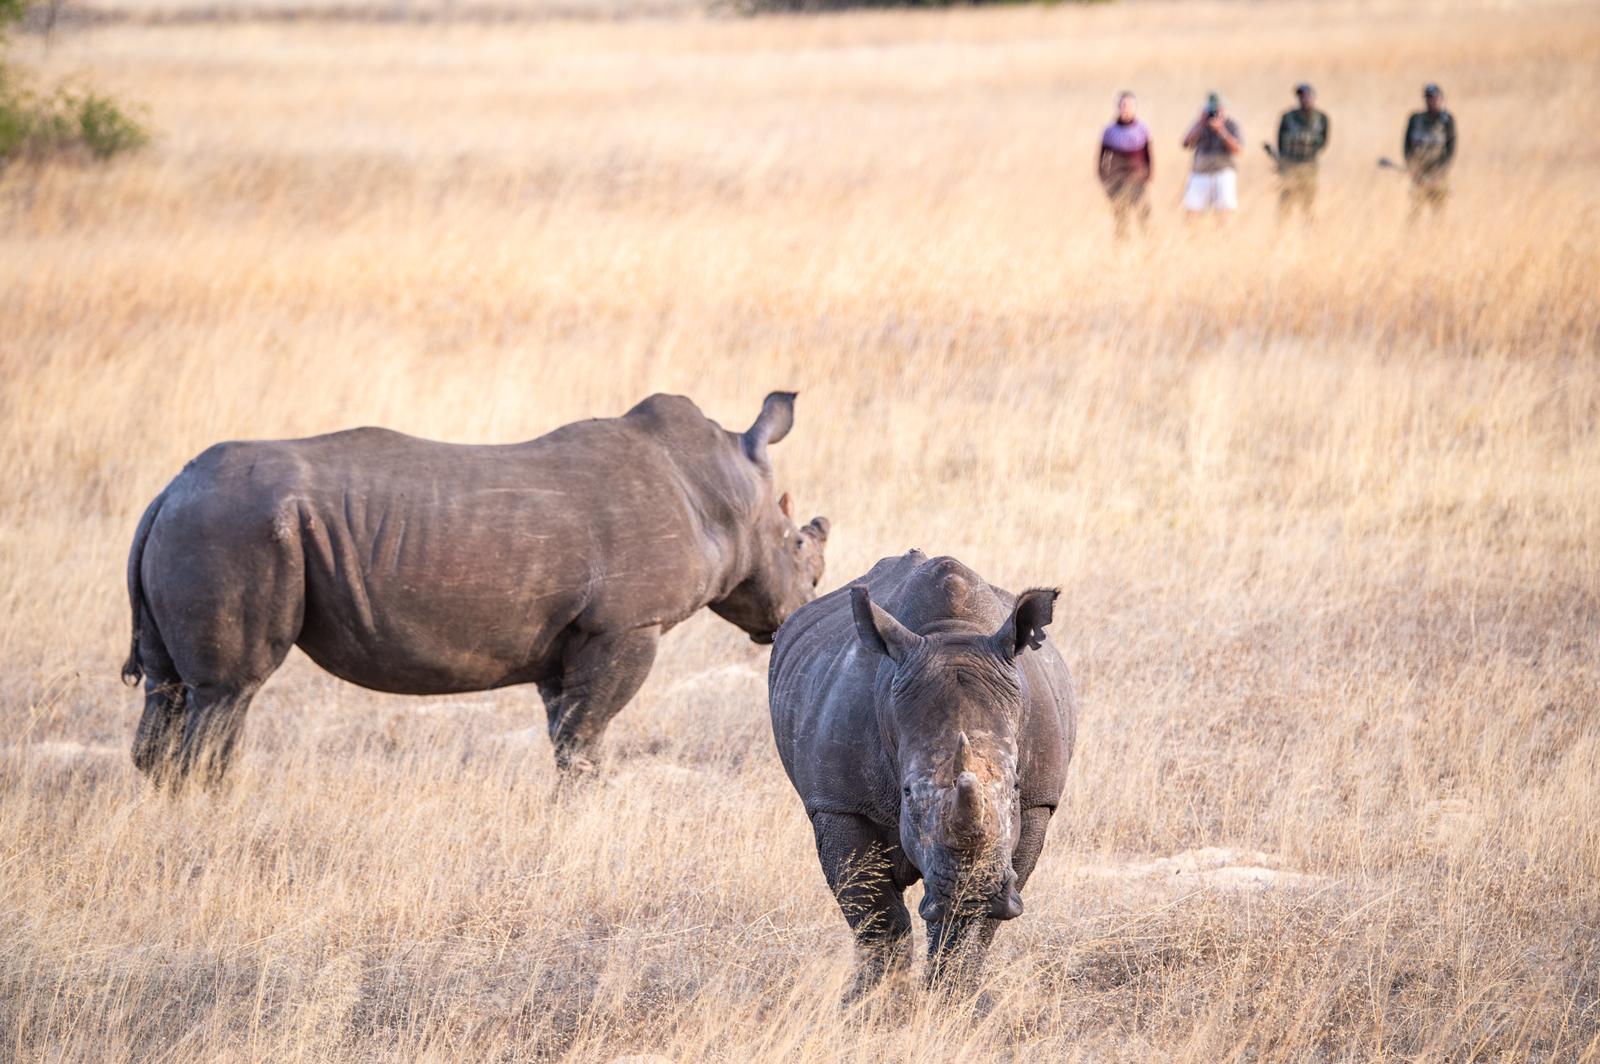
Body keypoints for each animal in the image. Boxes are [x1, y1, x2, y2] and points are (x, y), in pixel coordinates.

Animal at [122, 391, 828, 785]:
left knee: (168, 690)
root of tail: (167, 491)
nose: (797, 619)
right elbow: (586, 738)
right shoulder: (627, 624)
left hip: (194, 523)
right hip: (233, 528)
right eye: (801, 551)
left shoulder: (568, 637)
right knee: (228, 694)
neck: (727, 492)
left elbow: (568, 733)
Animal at [768, 550, 1075, 998]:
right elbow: (876, 915)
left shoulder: (1038, 802)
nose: (970, 892)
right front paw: (874, 1004)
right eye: (908, 792)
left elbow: (973, 931)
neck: (951, 632)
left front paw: (957, 1001)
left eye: (1016, 784)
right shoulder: (839, 803)